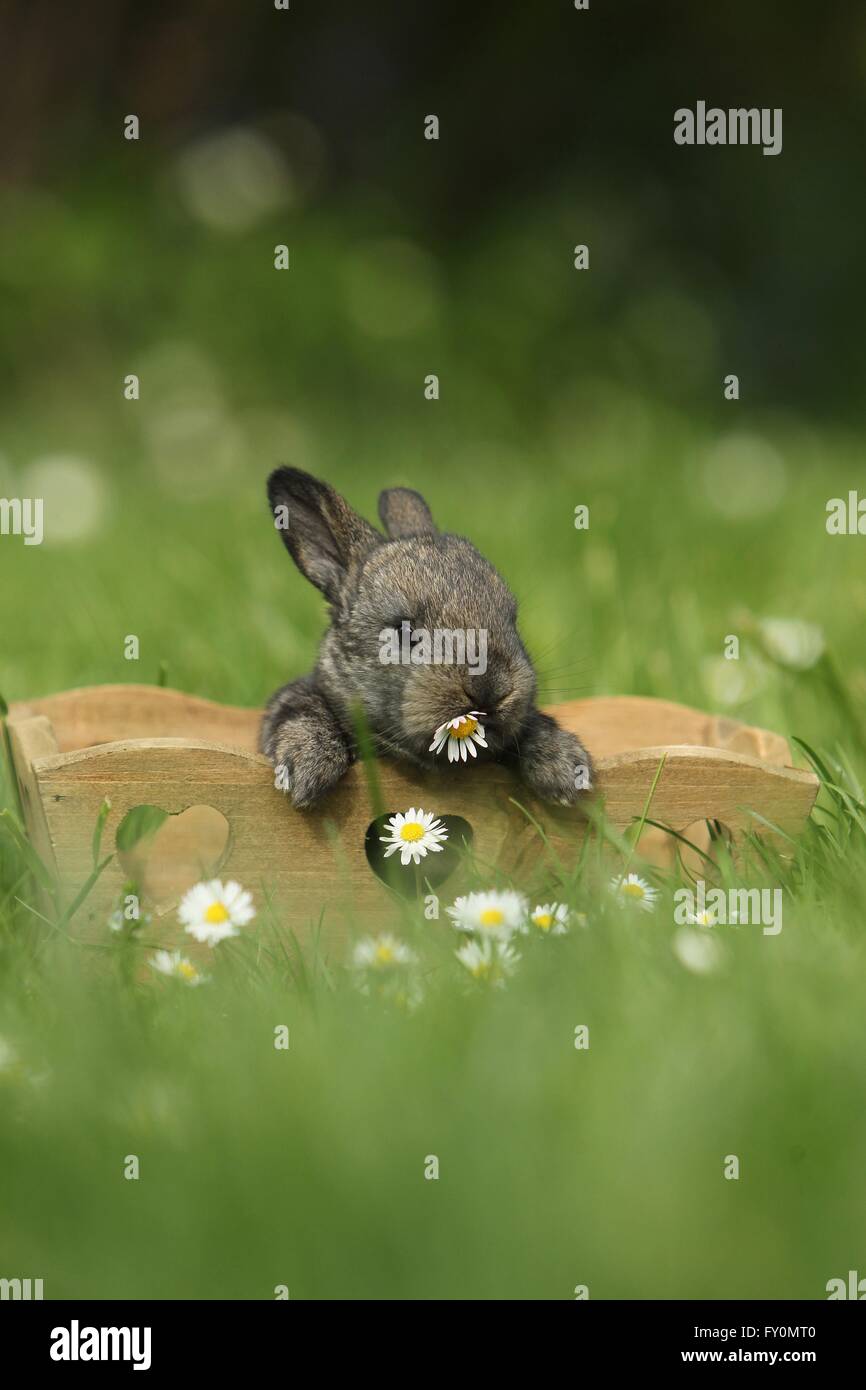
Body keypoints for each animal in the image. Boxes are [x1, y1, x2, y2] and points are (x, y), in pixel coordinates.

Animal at [260, 467, 593, 808]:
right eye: (404, 631)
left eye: (512, 620)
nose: (492, 687)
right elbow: (304, 710)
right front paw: (309, 769)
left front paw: (564, 767)